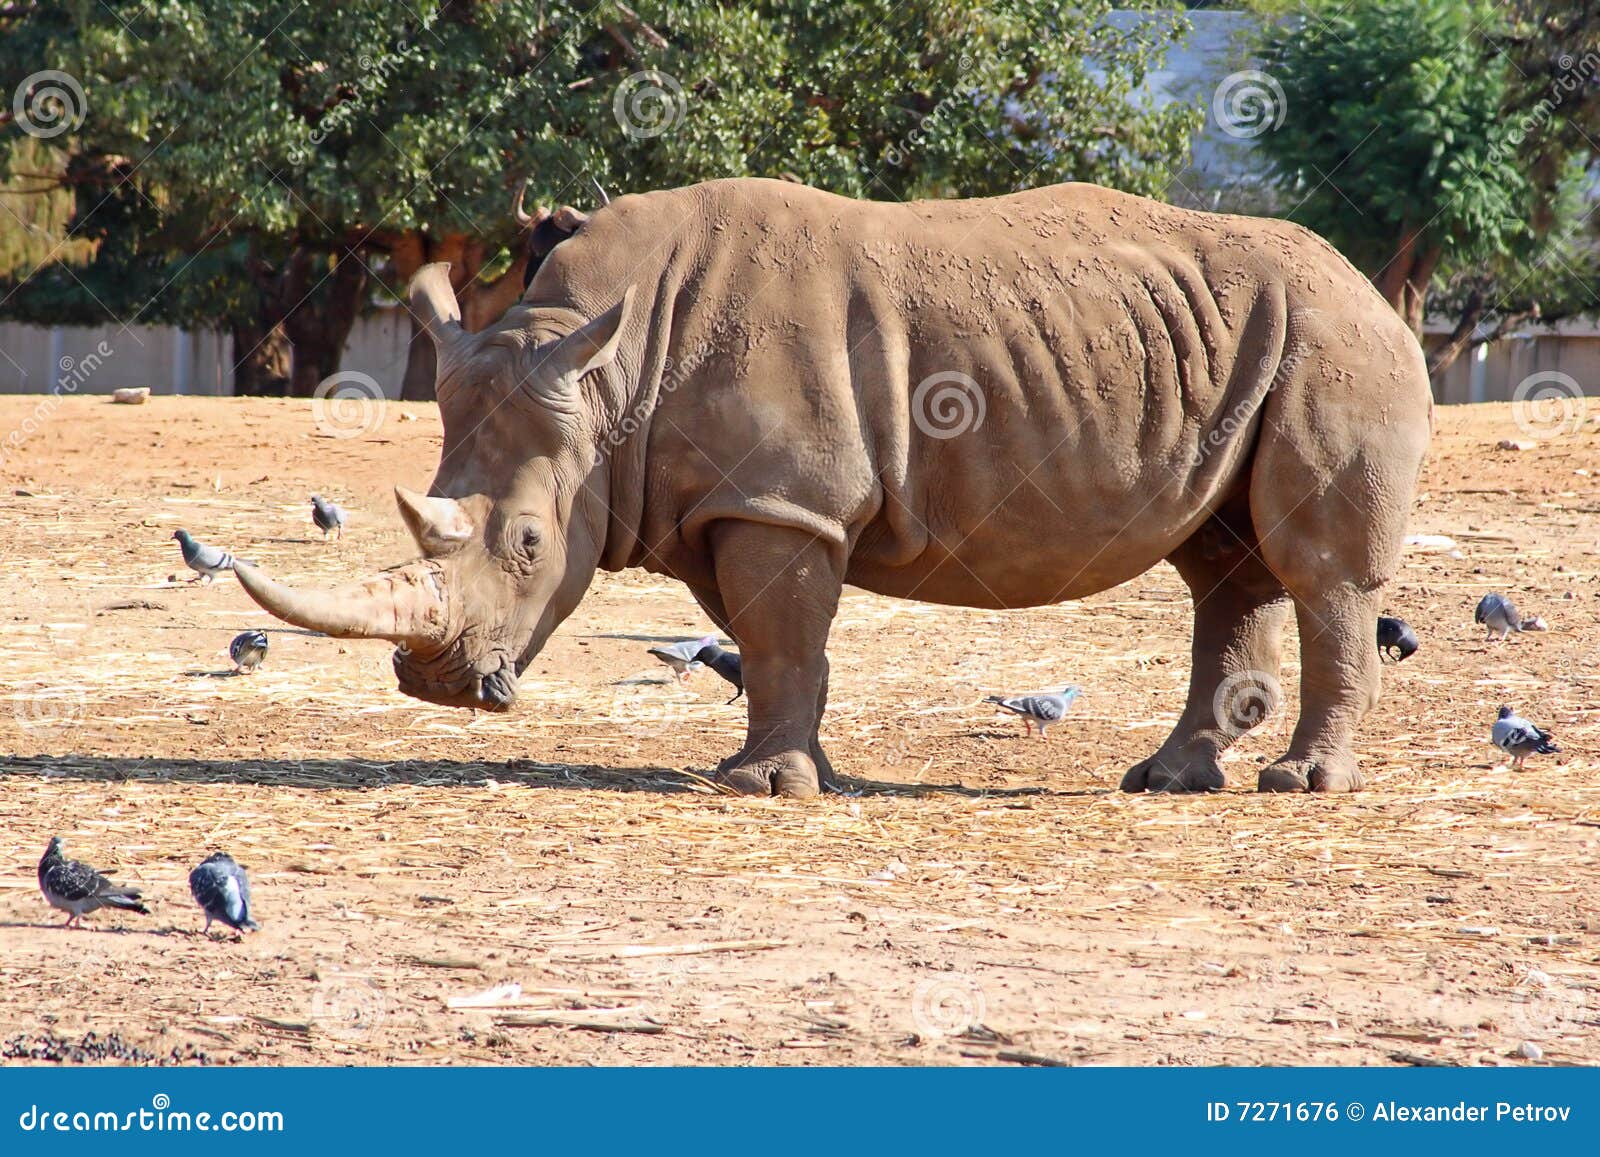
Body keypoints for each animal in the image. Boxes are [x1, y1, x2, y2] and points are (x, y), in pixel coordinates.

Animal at [237, 178, 1431, 799]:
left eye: (529, 545)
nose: (435, 686)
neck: (606, 374)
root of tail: (1374, 288)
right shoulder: (736, 500)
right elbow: (773, 641)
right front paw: (777, 767)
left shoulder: (782, 498)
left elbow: (778, 634)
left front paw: (760, 788)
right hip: (1239, 343)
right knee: (1220, 559)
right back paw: (1166, 779)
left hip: (1335, 340)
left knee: (1319, 572)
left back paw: (1298, 784)